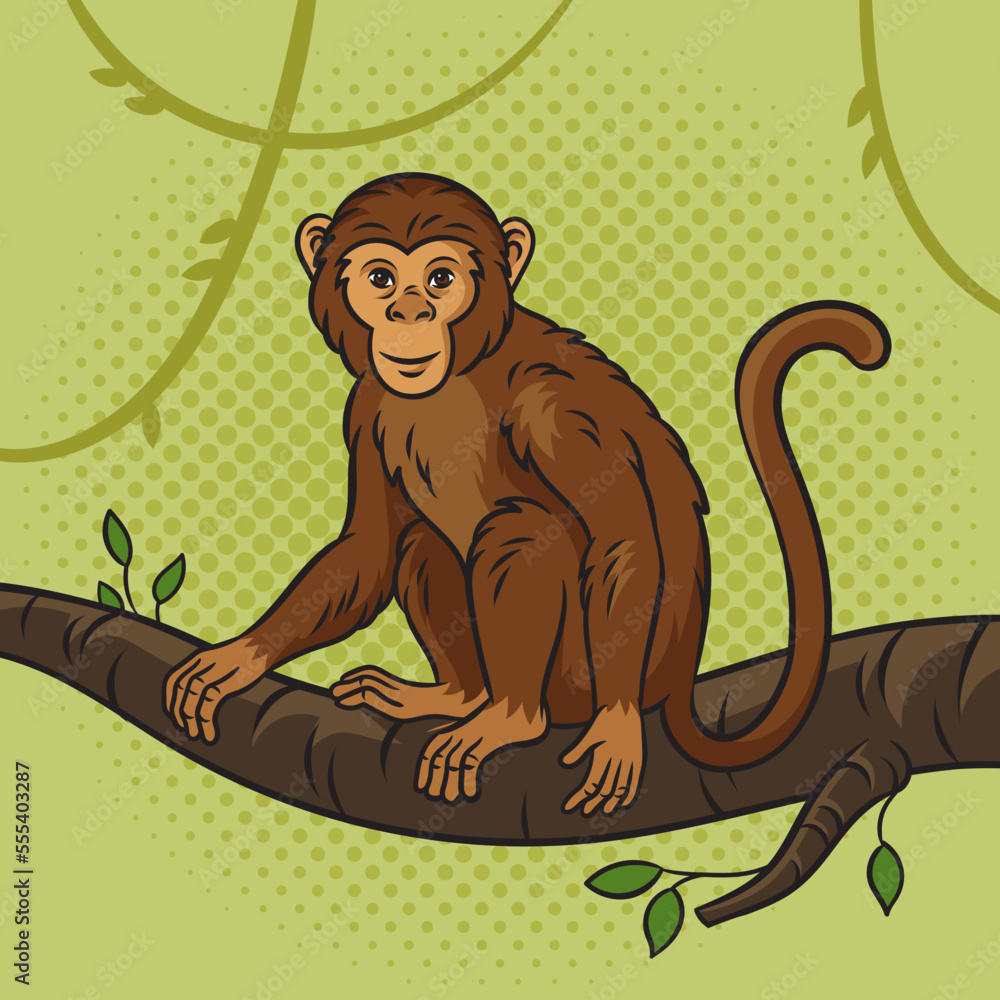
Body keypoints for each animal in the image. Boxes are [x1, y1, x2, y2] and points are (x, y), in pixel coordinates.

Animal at [164, 172, 889, 817]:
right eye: (380, 280)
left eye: (440, 280)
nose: (408, 312)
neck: (458, 374)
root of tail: (675, 678)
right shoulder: (367, 404)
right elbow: (369, 544)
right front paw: (242, 657)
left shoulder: (554, 411)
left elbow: (620, 537)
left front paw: (616, 723)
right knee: (425, 539)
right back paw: (458, 698)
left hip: (576, 677)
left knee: (520, 530)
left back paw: (513, 717)